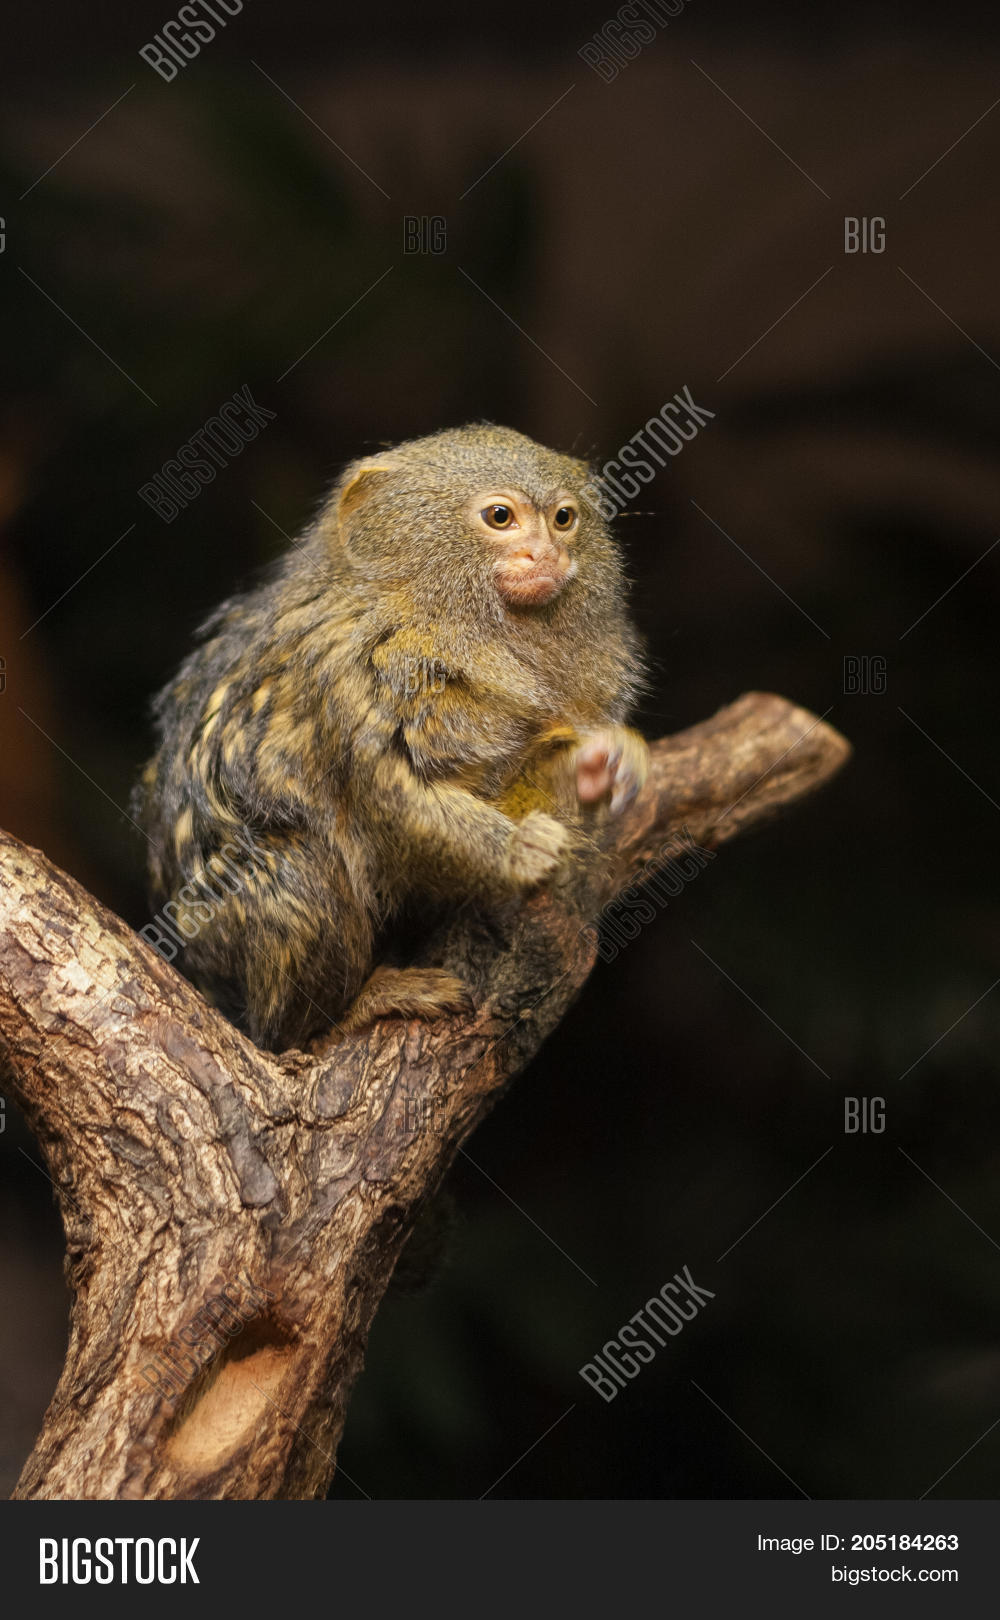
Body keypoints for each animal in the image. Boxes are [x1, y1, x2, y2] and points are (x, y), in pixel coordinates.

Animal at [134, 423, 648, 1052]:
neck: (430, 612)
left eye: (564, 518)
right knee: (303, 881)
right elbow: (393, 801)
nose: (548, 554)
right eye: (500, 517)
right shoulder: (358, 672)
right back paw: (338, 1015)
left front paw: (603, 765)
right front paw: (520, 850)